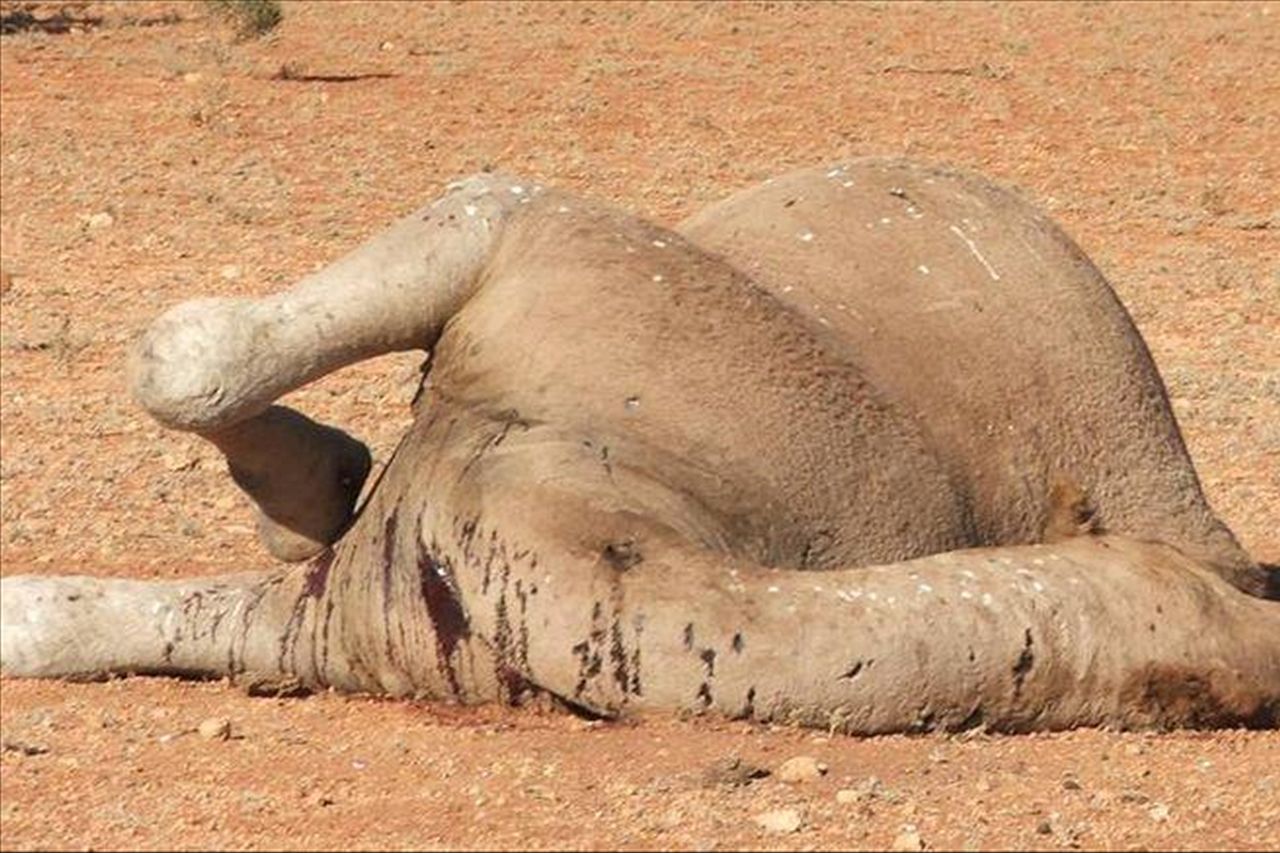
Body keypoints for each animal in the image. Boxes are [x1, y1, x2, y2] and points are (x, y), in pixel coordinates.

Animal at [2, 158, 1277, 734]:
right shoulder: (517, 234)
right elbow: (184, 363)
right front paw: (315, 485)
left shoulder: (525, 223)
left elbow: (185, 356)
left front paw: (315, 483)